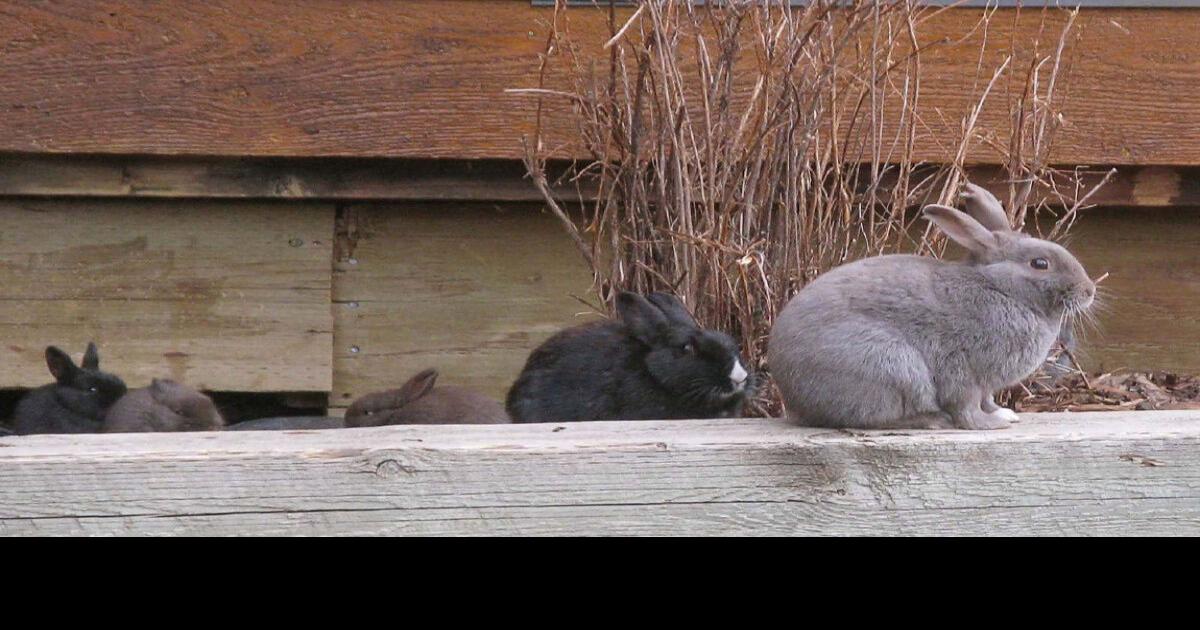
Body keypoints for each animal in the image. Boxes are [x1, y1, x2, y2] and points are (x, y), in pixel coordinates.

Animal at [768, 183, 1096, 430]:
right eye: (1040, 263)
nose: (1089, 290)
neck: (1001, 288)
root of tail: (793, 397)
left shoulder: (986, 384)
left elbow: (987, 400)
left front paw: (1004, 413)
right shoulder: (964, 370)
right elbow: (966, 407)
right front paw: (991, 424)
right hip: (894, 367)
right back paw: (933, 420)